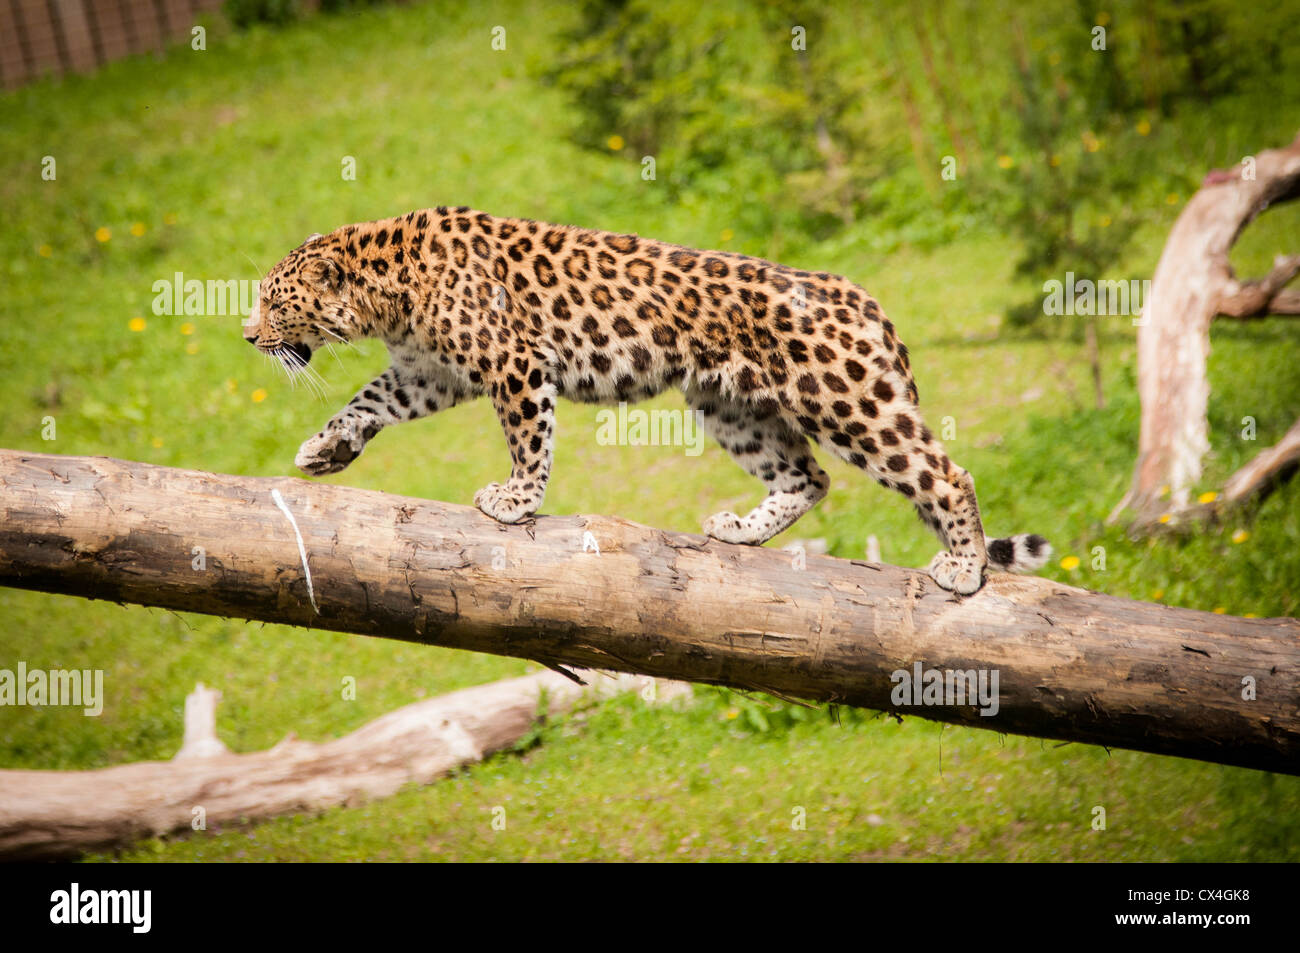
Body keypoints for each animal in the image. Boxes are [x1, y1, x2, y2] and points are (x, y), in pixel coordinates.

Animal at [241, 207, 1050, 594]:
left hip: (846, 400)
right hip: (728, 404)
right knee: (807, 476)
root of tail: (861, 296)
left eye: (276, 303)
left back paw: (964, 567)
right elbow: (366, 399)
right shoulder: (429, 371)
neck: (386, 287)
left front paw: (515, 501)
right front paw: (326, 447)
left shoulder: (512, 362)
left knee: (943, 472)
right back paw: (741, 531)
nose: (248, 335)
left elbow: (527, 439)